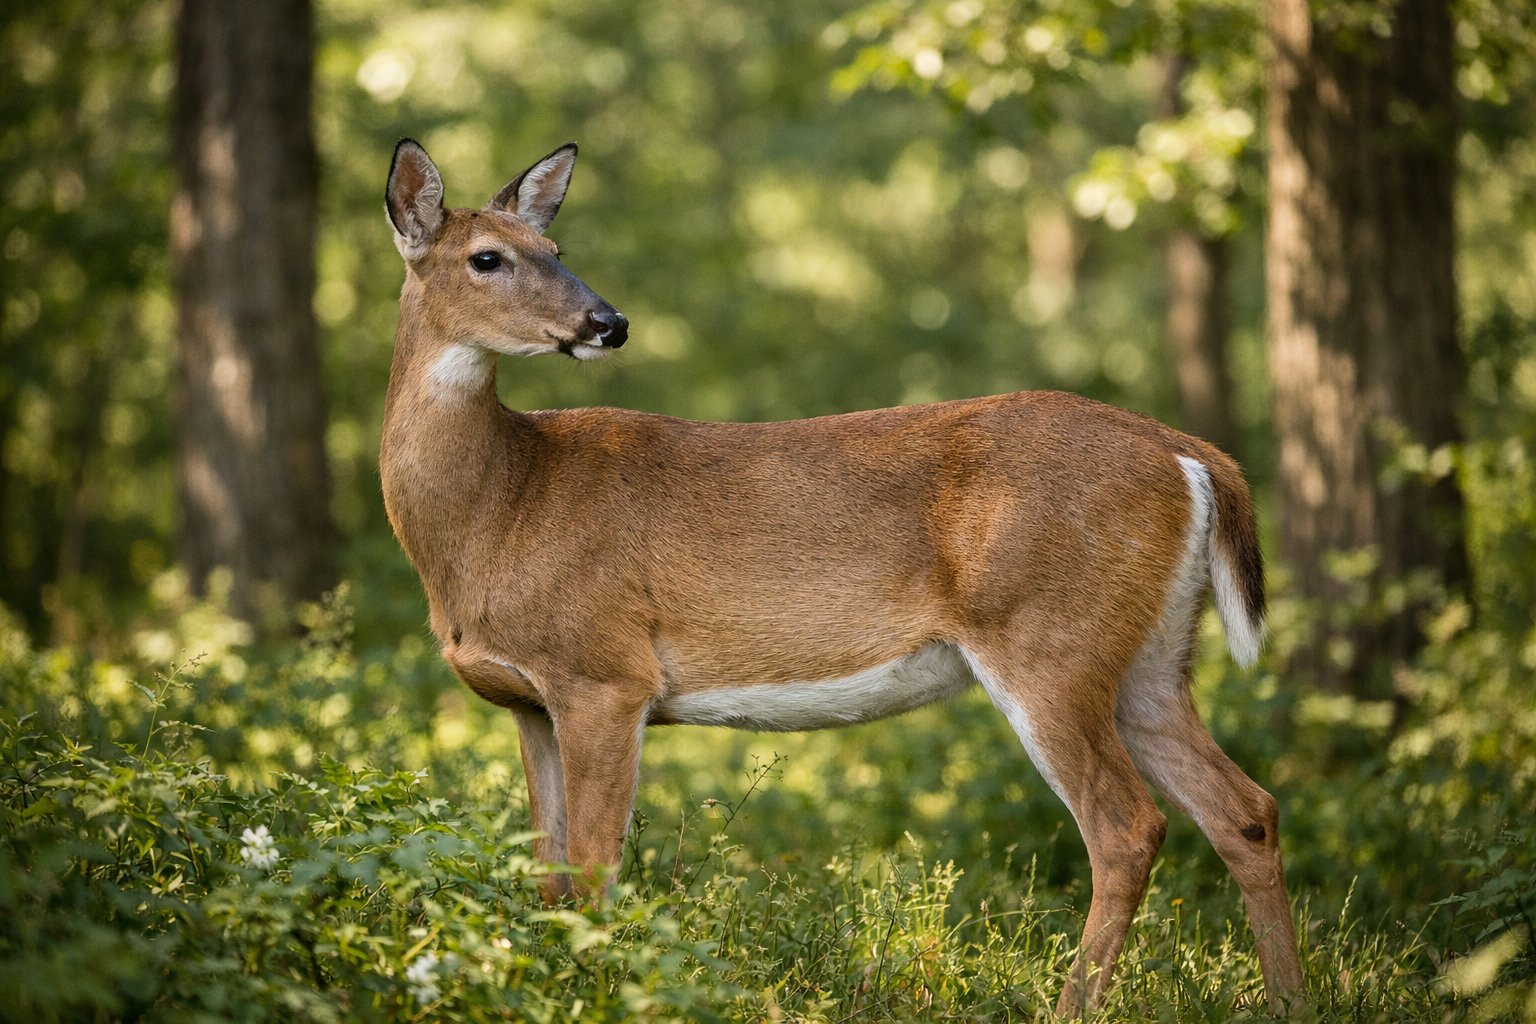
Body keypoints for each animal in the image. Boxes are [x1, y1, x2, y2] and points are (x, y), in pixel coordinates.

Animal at [380, 137, 1306, 1015]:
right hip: (1150, 656)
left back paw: (1072, 1006)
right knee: (1245, 809)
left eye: (555, 245)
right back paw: (1290, 998)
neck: (501, 509)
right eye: (488, 257)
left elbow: (597, 872)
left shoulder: (605, 672)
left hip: (1050, 639)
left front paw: (601, 991)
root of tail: (1190, 454)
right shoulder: (531, 702)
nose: (607, 322)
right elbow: (548, 876)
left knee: (1127, 826)